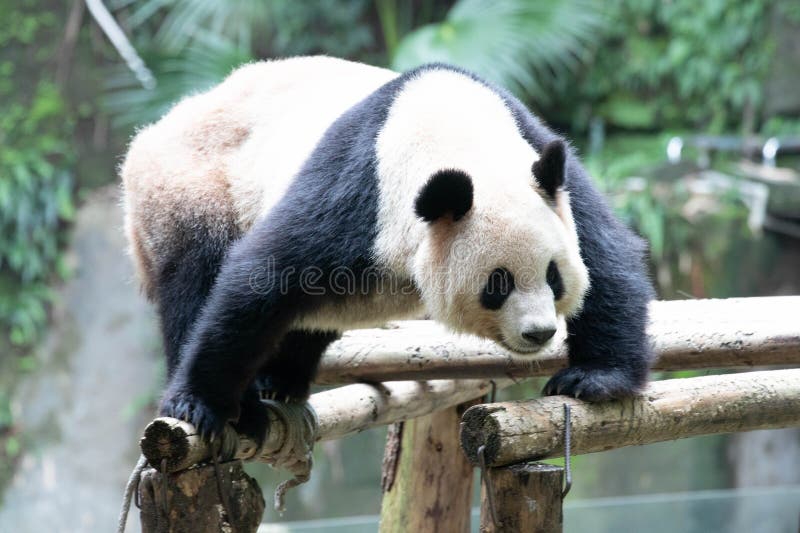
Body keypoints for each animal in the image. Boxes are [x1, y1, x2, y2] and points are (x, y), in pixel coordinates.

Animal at [121, 56, 655, 439]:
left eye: (553, 275)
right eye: (497, 283)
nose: (539, 333)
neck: (458, 133)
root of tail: (153, 131)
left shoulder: (542, 159)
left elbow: (605, 254)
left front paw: (593, 378)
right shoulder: (358, 193)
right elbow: (260, 278)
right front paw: (199, 404)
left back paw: (285, 377)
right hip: (191, 187)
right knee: (194, 277)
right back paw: (248, 402)